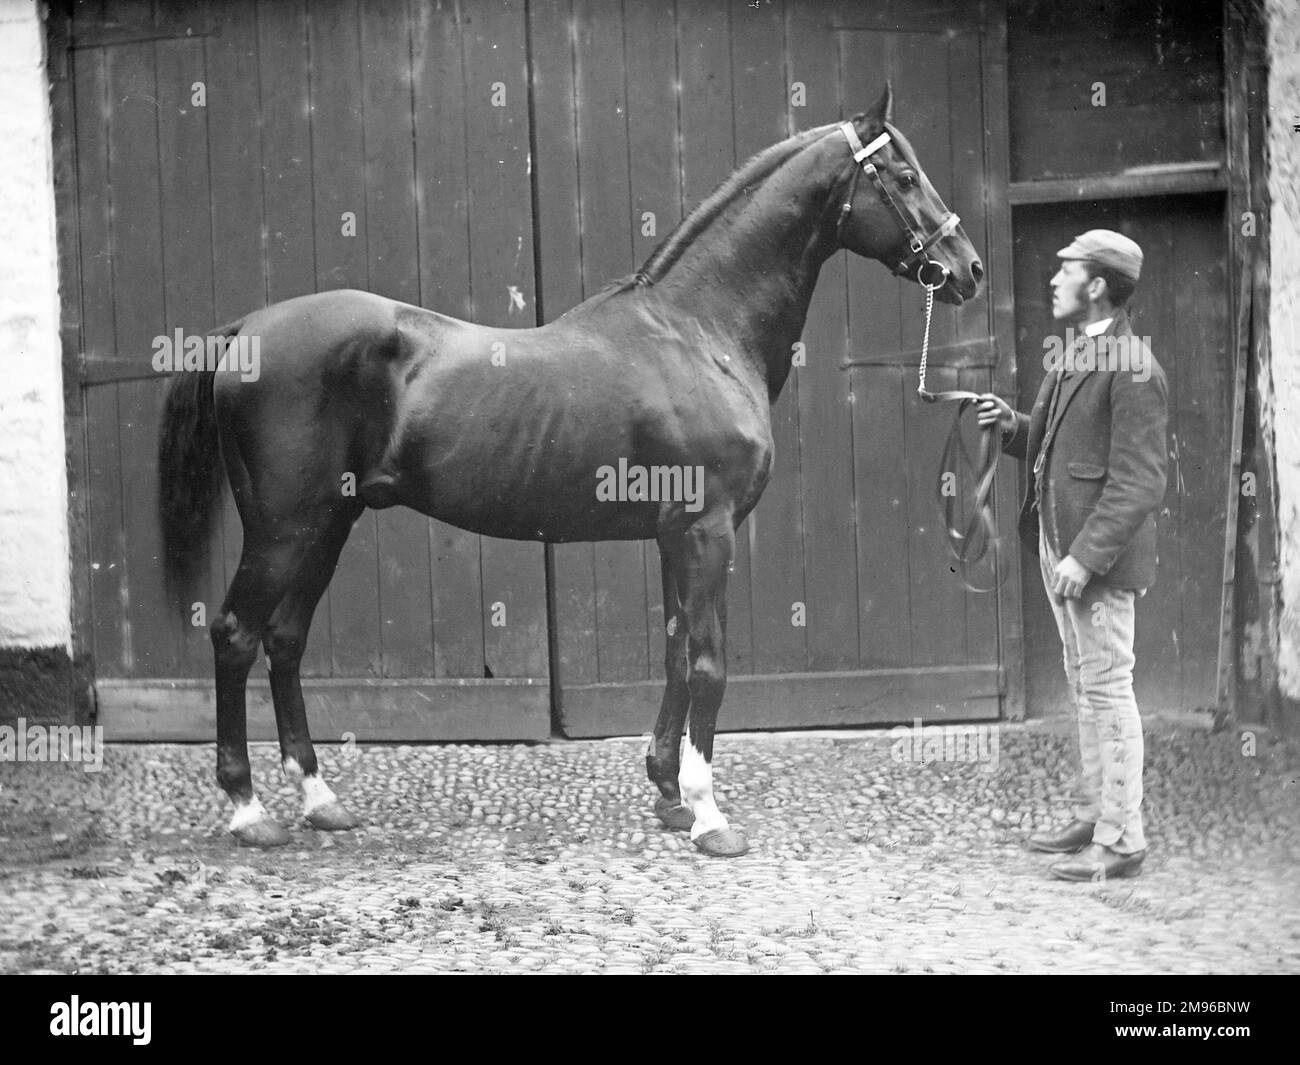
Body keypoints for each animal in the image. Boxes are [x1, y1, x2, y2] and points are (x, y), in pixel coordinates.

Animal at [158, 84, 982, 857]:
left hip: (330, 523)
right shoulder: (706, 531)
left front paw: (668, 794)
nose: (968, 269)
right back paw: (248, 810)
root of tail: (246, 330)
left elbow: (676, 652)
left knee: (285, 639)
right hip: (284, 529)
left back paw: (320, 799)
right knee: (235, 633)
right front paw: (710, 816)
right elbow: (709, 662)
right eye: (903, 175)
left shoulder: (673, 536)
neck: (697, 331)